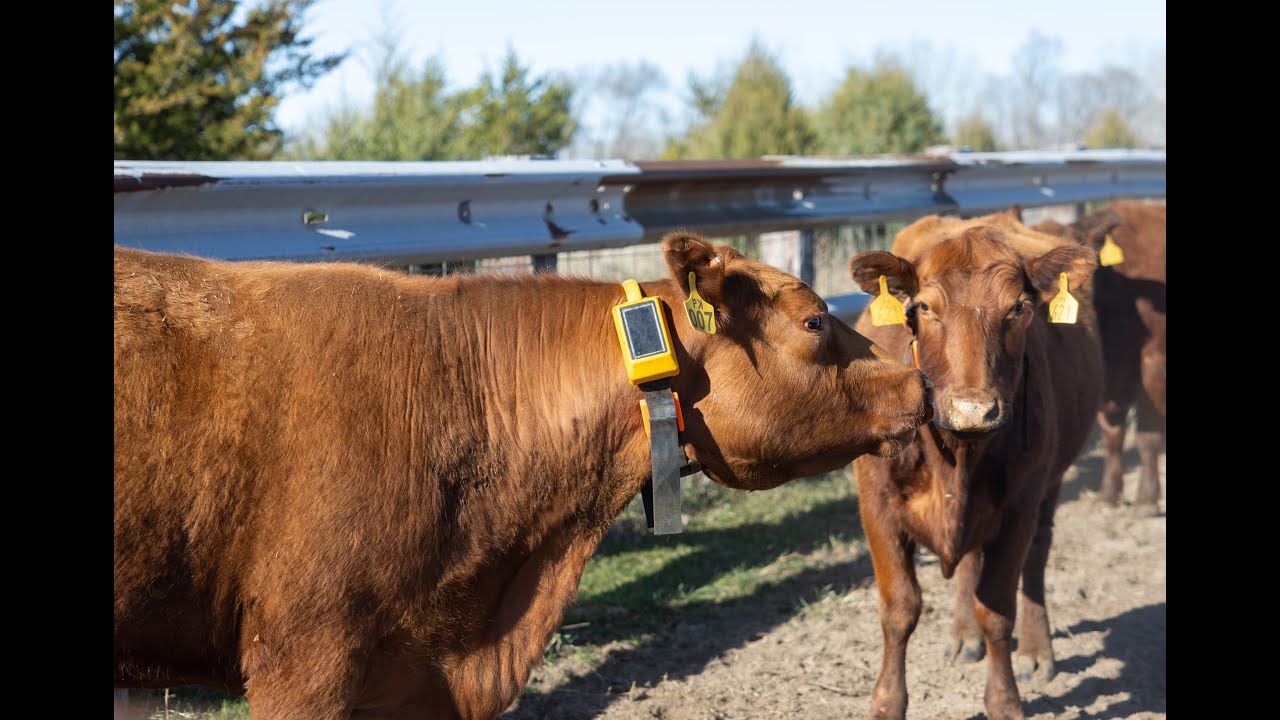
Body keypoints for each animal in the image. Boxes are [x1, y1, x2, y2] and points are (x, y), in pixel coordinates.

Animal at [847, 212, 1103, 720]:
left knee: (1037, 557)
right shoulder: (877, 505)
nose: (973, 410)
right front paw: (887, 702)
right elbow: (899, 609)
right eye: (924, 307)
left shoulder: (1019, 509)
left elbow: (997, 610)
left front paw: (1004, 701)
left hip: (1047, 488)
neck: (957, 454)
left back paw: (1037, 651)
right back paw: (964, 637)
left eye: (1019, 308)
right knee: (968, 563)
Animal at [1033, 202, 1166, 514]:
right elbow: (1112, 432)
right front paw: (1109, 494)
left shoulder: (1153, 362)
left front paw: (1147, 498)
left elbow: (1148, 434)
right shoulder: (1108, 380)